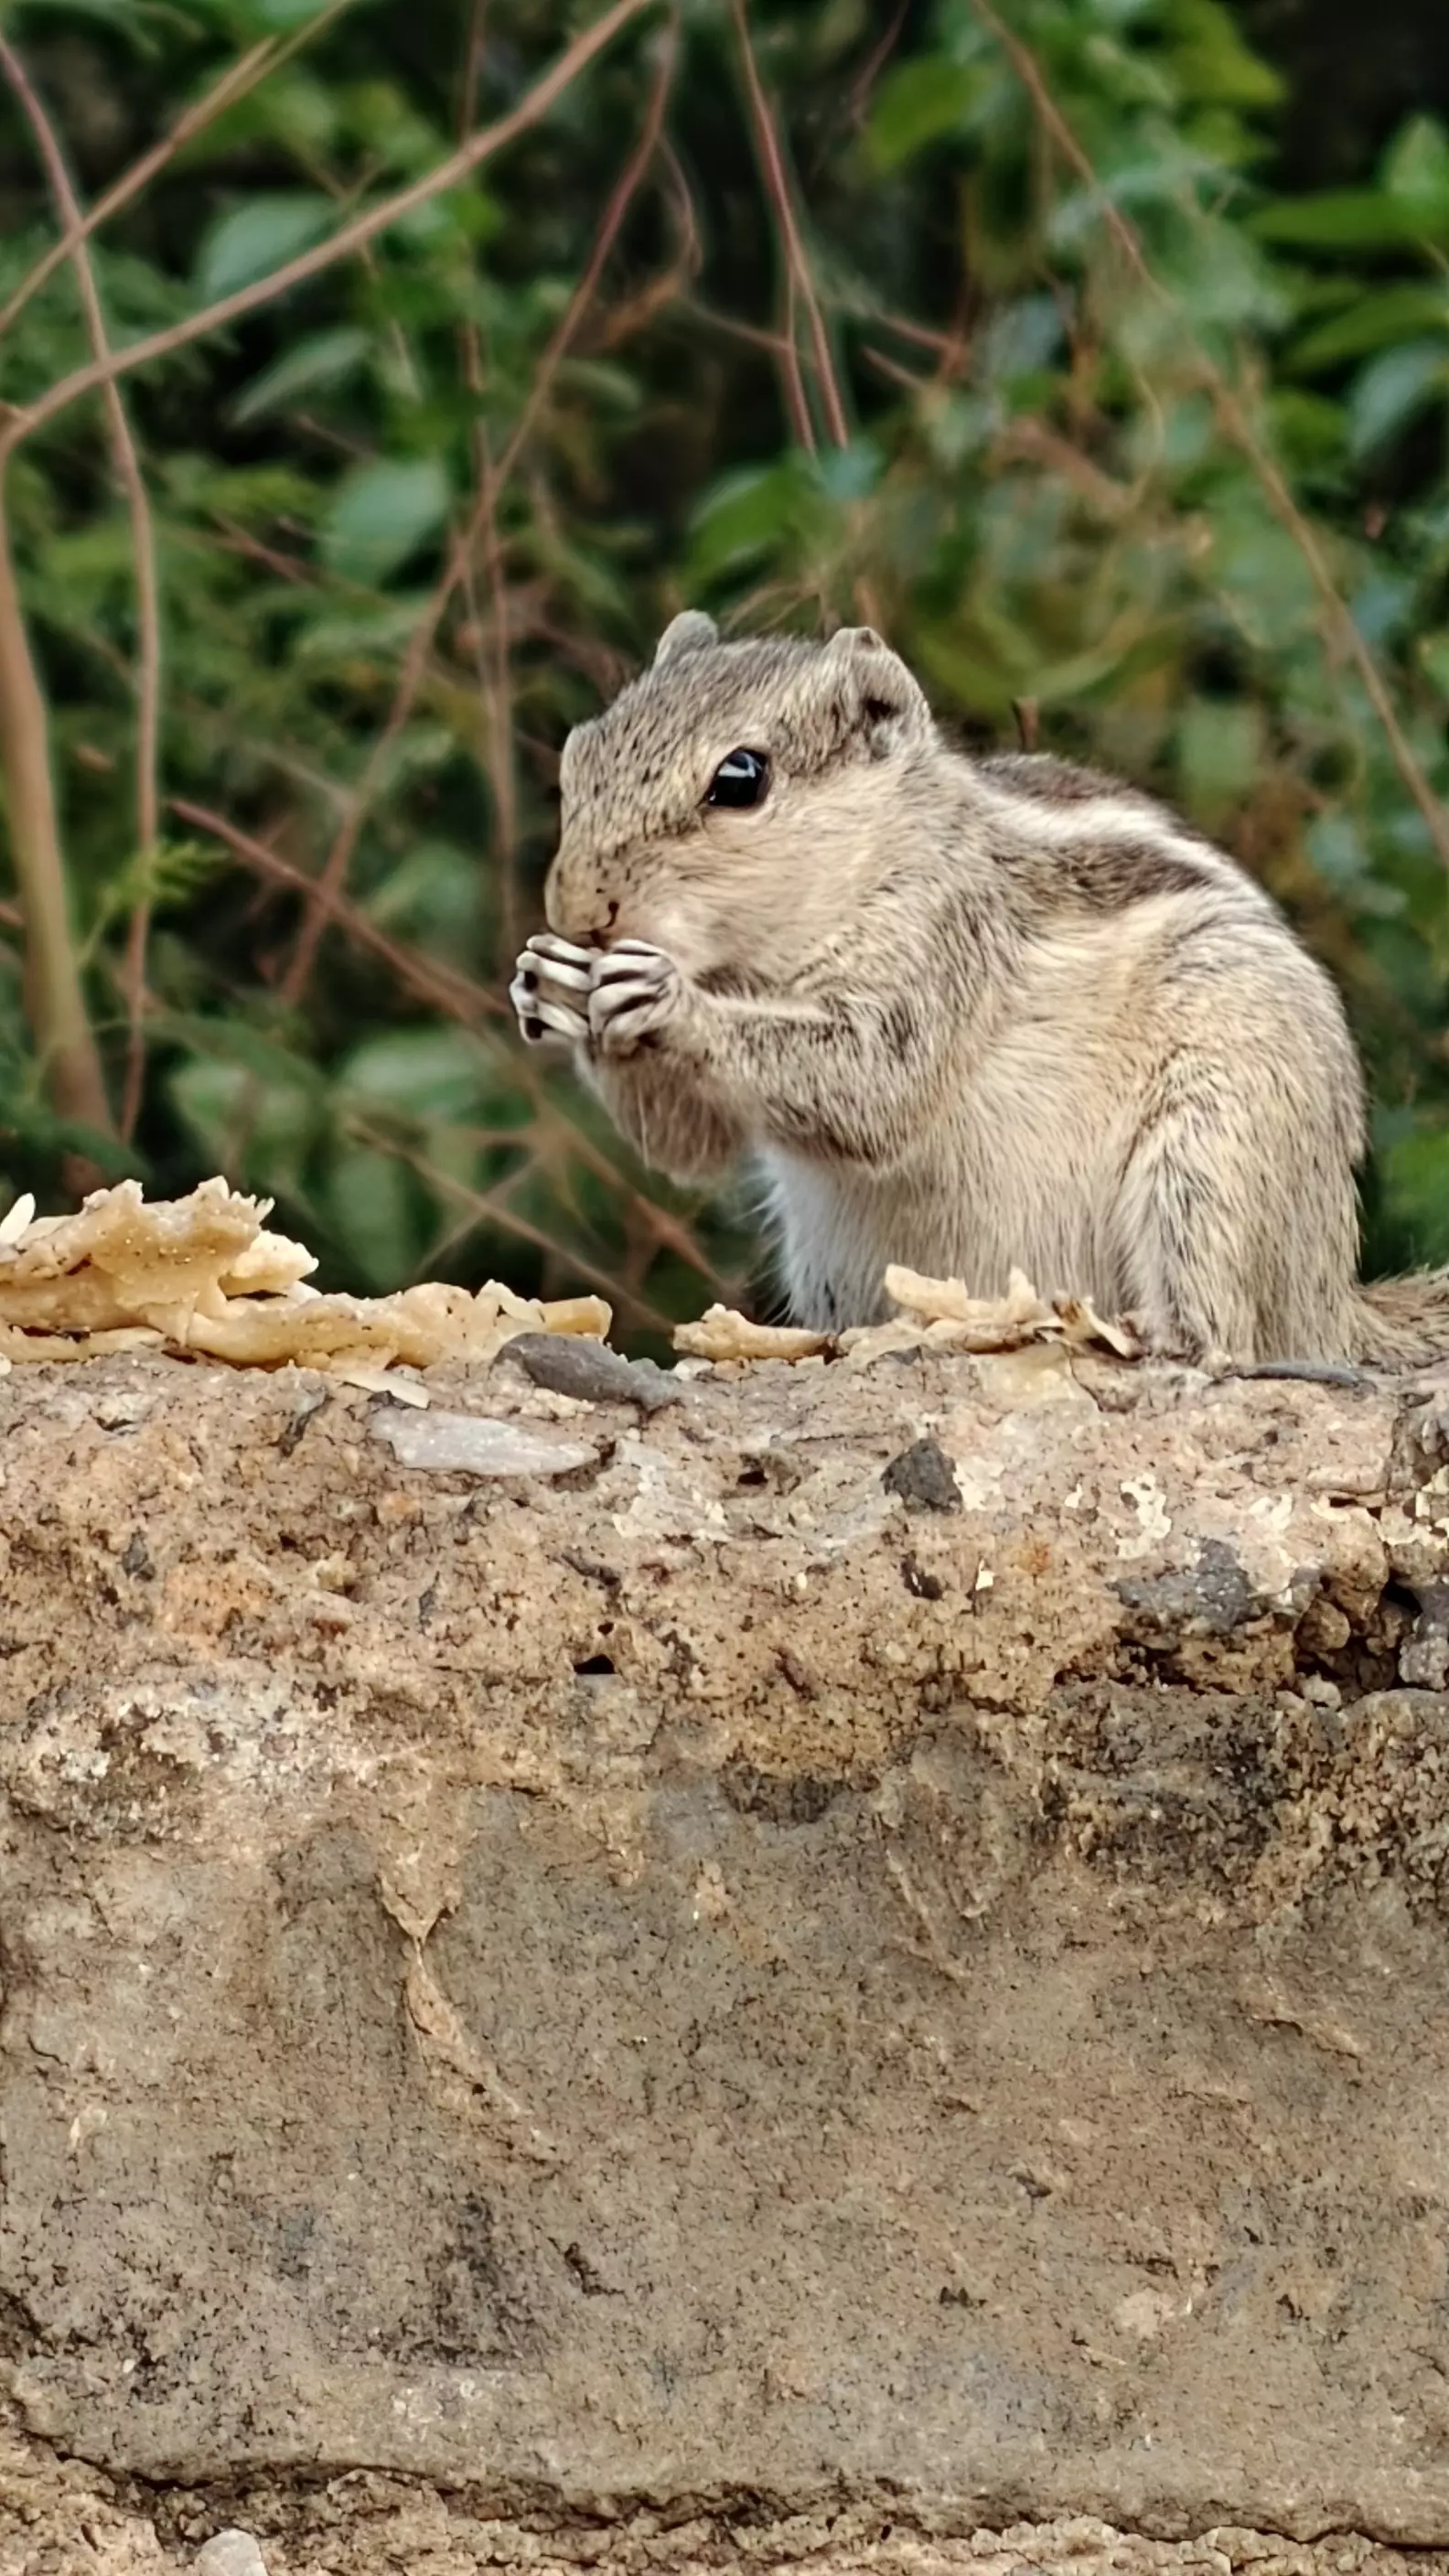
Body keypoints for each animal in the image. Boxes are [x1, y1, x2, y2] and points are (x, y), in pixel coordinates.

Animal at [509, 612, 1449, 1370]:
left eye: (741, 778)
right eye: (579, 750)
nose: (578, 910)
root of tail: (1332, 1301)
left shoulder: (942, 948)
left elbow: (873, 1086)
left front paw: (669, 1000)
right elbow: (688, 1147)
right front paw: (548, 985)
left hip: (1220, 1142)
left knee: (1232, 1331)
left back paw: (1140, 1333)